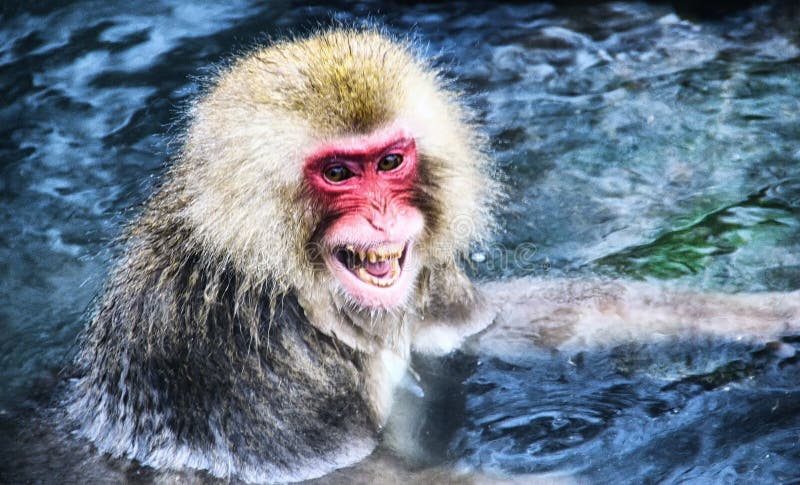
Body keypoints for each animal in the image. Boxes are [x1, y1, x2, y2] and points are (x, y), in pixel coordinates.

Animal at [63, 28, 800, 484]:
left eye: (390, 162)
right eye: (339, 172)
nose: (383, 215)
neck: (290, 282)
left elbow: (487, 328)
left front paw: (767, 314)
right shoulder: (227, 352)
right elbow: (338, 472)